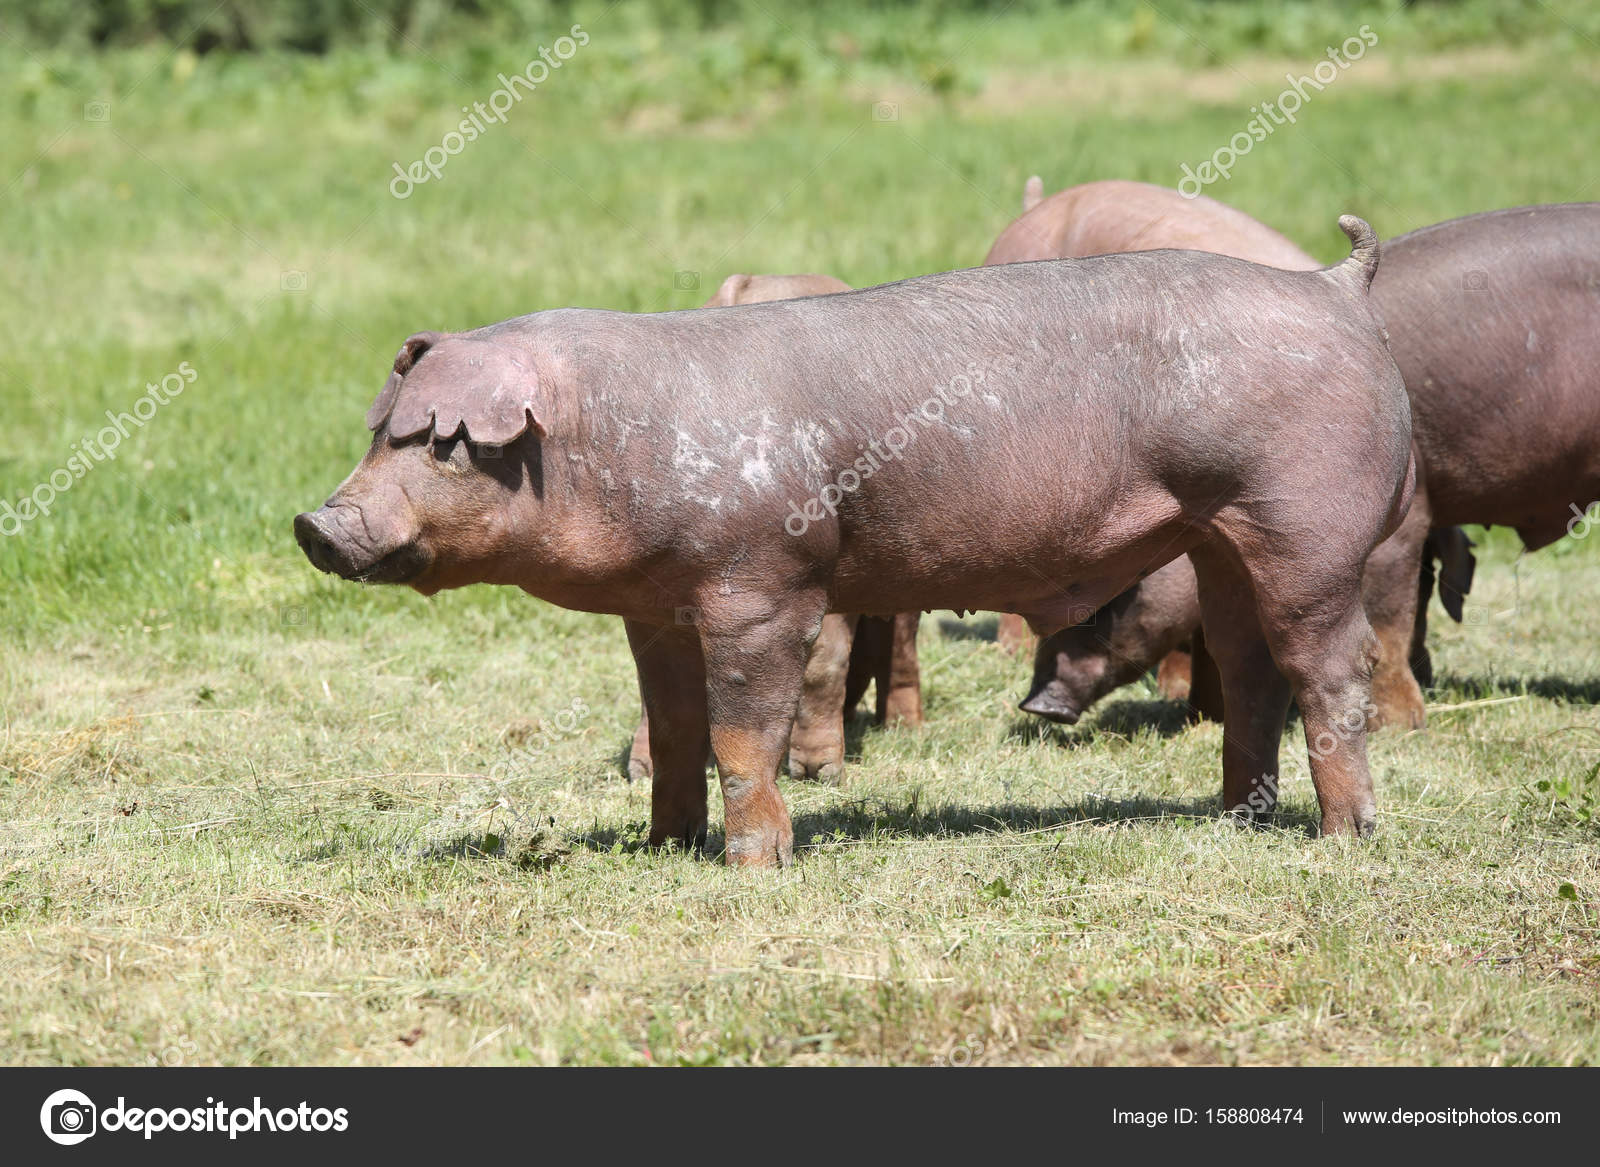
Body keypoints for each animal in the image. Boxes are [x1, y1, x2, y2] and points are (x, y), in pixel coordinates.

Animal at [296, 216, 1412, 865]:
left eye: (445, 443)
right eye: (380, 433)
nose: (315, 523)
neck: (617, 439)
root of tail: (1335, 285)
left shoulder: (762, 586)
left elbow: (744, 732)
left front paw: (755, 867)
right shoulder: (653, 611)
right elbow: (675, 726)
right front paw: (662, 848)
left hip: (1307, 522)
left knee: (1329, 666)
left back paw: (1345, 840)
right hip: (1219, 538)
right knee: (1249, 666)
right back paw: (1236, 821)